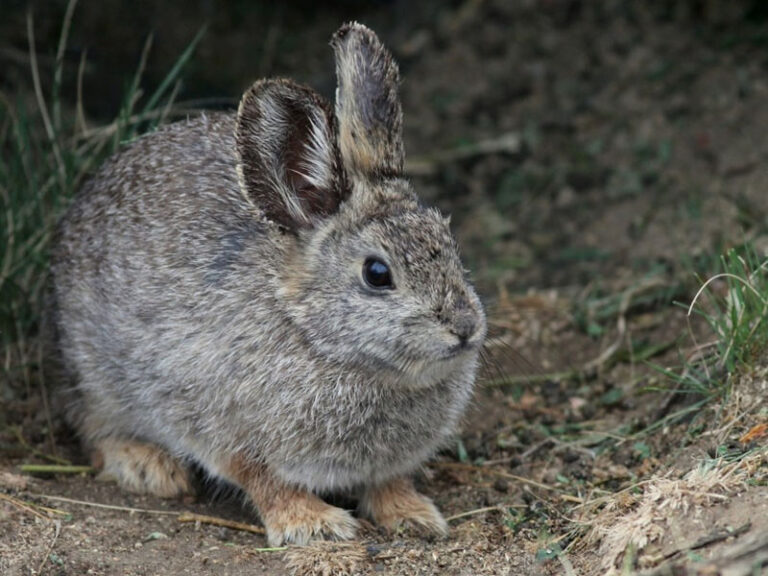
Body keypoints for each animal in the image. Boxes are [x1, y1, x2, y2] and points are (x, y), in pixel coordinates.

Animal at [47, 22, 486, 546]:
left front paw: (414, 515)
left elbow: (388, 481)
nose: (465, 327)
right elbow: (266, 481)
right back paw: (148, 467)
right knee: (92, 427)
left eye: (450, 242)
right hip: (94, 374)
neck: (317, 339)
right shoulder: (224, 430)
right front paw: (314, 525)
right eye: (377, 274)